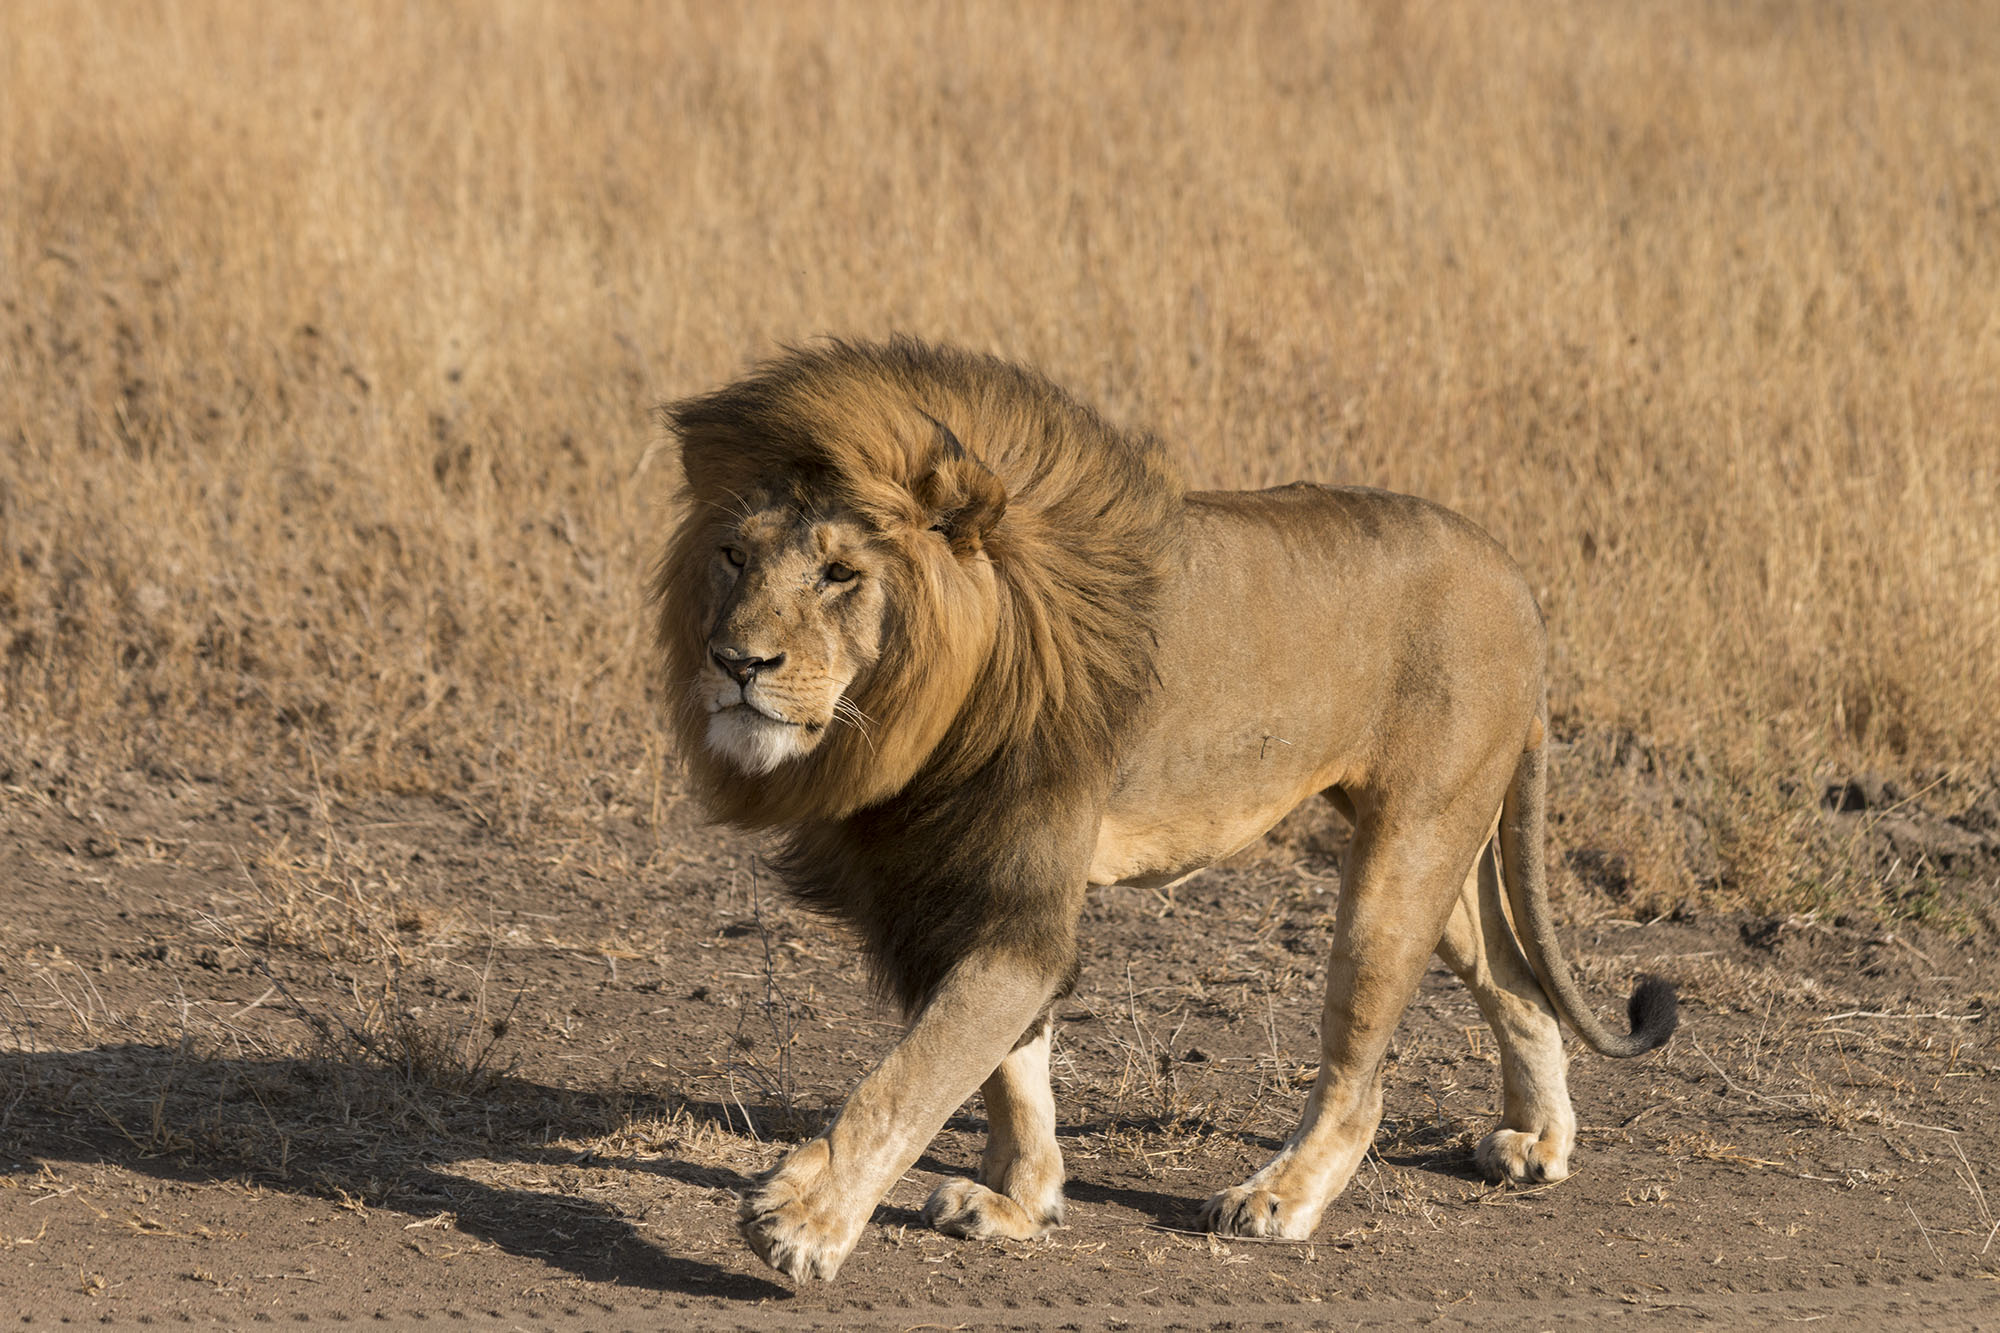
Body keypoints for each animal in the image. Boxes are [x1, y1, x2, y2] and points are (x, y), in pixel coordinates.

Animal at [654, 338, 1676, 1282]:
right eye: (734, 556)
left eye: (838, 573)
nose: (736, 662)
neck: (918, 705)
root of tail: (1518, 583)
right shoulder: (961, 888)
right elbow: (1009, 1067)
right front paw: (1021, 1202)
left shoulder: (1017, 896)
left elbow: (914, 1075)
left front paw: (803, 1221)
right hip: (1443, 843)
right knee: (1519, 981)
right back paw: (1538, 1144)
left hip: (1405, 854)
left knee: (1361, 1070)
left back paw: (1277, 1198)